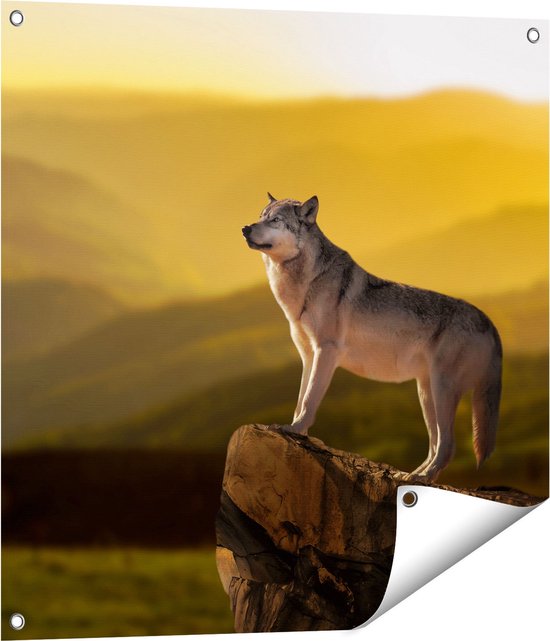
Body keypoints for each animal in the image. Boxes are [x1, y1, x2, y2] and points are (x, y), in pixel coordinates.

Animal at [242, 194, 502, 481]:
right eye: (261, 216)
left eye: (276, 220)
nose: (245, 229)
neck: (307, 281)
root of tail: (489, 321)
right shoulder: (308, 356)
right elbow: (301, 399)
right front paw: (295, 430)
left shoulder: (326, 351)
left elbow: (309, 400)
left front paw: (296, 430)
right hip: (426, 393)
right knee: (435, 444)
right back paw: (410, 475)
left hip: (442, 389)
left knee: (448, 445)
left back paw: (422, 478)